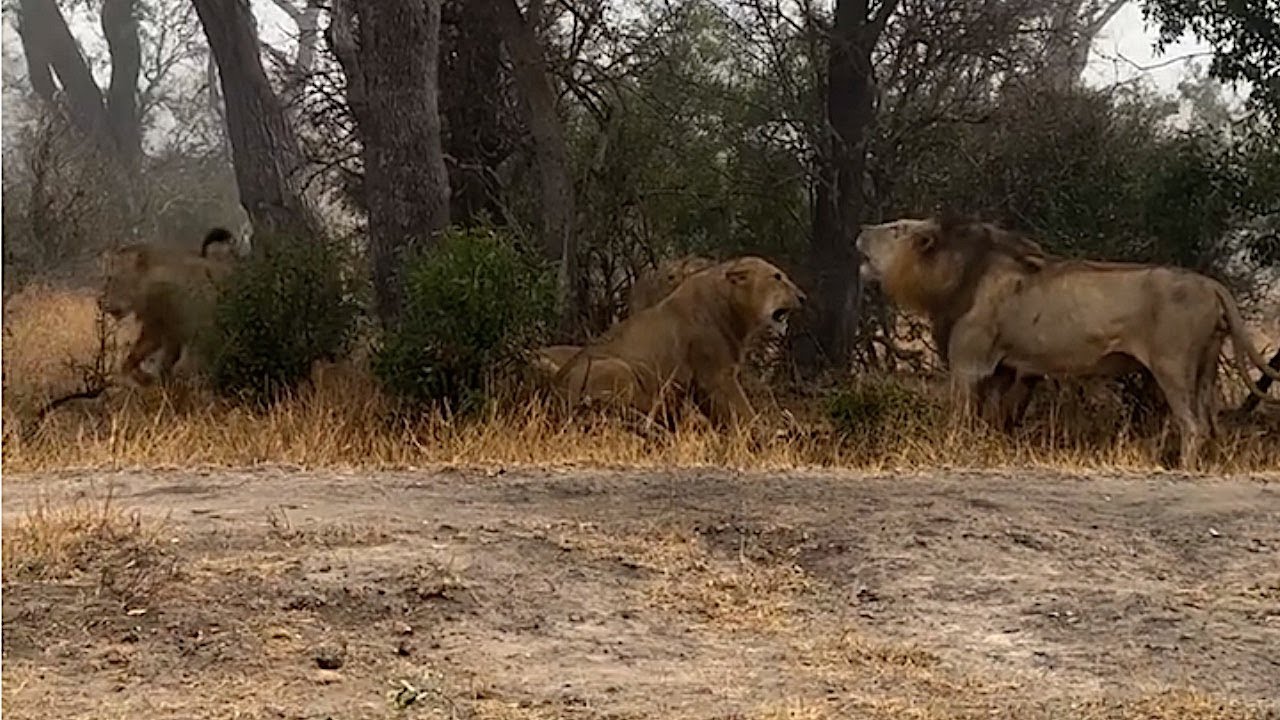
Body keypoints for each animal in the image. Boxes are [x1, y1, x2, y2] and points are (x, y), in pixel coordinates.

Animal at [98, 227, 239, 385]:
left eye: (111, 278)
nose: (101, 302)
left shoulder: (182, 331)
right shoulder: (160, 329)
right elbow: (132, 359)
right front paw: (145, 378)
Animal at [550, 256, 806, 429]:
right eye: (777, 277)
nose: (803, 297)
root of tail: (553, 396)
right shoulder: (716, 376)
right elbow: (741, 410)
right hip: (617, 368)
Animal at [856, 216, 1280, 467]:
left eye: (895, 229)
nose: (861, 229)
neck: (951, 275)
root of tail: (1212, 284)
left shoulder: (969, 365)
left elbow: (960, 419)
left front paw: (955, 450)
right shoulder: (1004, 370)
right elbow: (993, 420)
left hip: (1172, 366)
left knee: (1192, 425)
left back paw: (1183, 469)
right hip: (1205, 367)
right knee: (1210, 423)